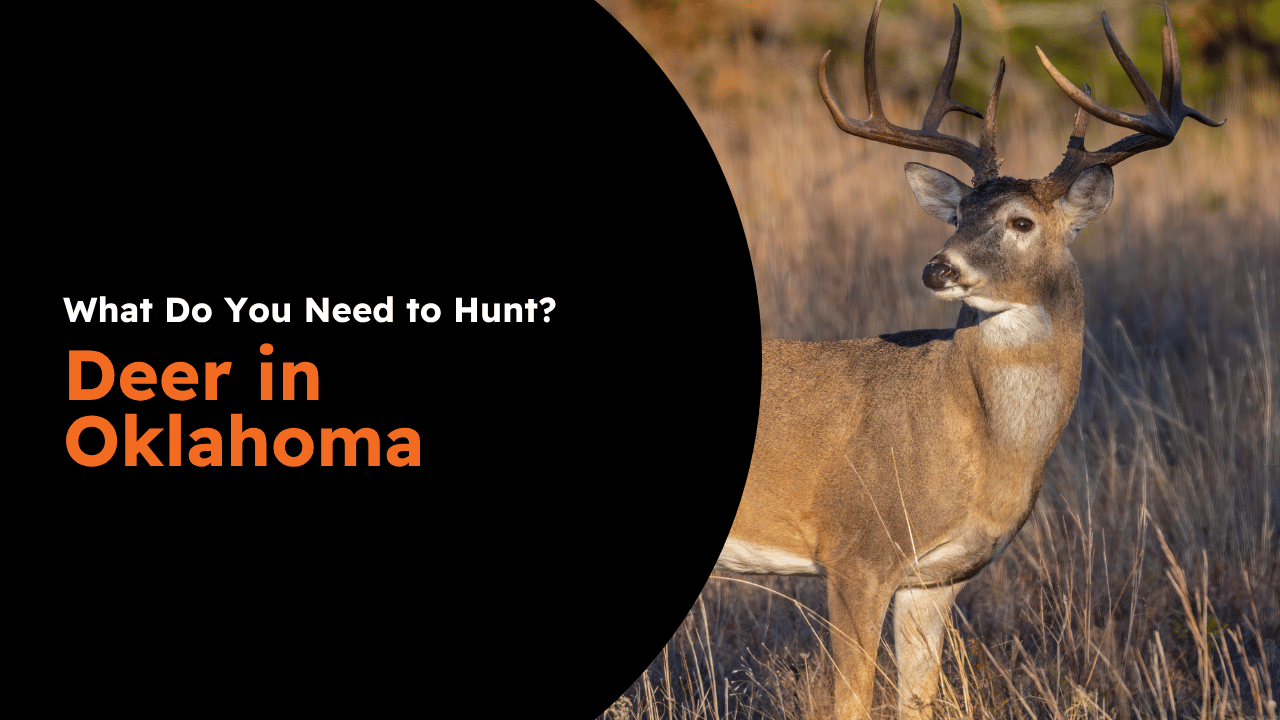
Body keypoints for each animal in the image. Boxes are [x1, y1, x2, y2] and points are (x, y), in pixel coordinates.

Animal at [714, 2, 1223, 718]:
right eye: (957, 213)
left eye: (1020, 223)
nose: (938, 267)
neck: (977, 439)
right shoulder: (856, 550)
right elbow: (851, 701)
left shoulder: (935, 578)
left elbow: (917, 700)